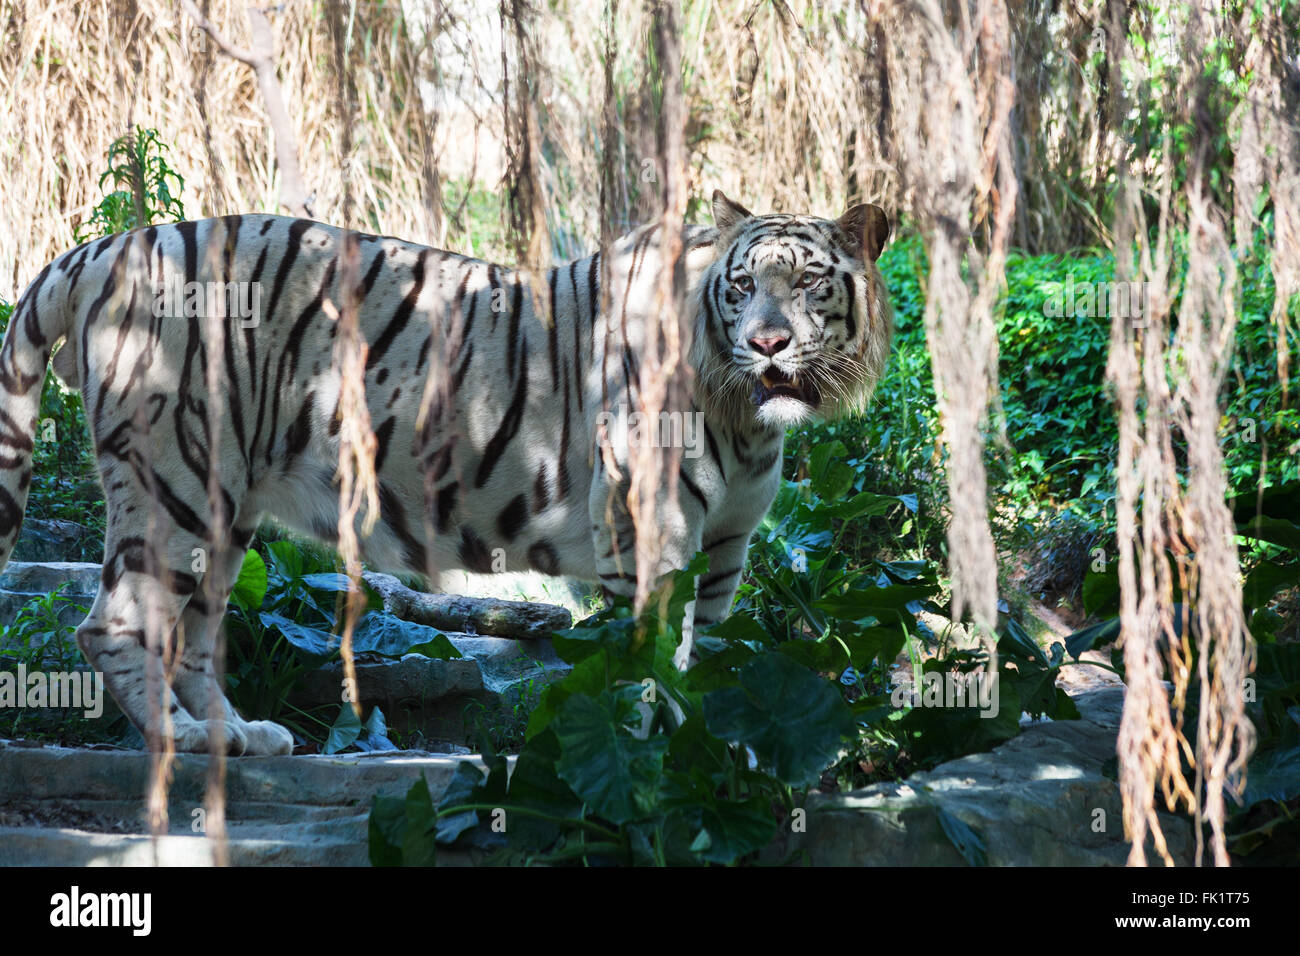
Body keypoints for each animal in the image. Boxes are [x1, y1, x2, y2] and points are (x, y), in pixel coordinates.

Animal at [0, 190, 892, 755]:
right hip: (173, 483)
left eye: (807, 280)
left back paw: (237, 737)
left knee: (191, 635)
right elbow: (648, 661)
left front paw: (712, 745)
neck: (746, 419)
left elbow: (705, 651)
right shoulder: (649, 529)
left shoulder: (727, 546)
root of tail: (108, 245)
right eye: (741, 287)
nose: (769, 343)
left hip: (222, 509)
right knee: (112, 622)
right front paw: (657, 754)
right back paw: (177, 741)